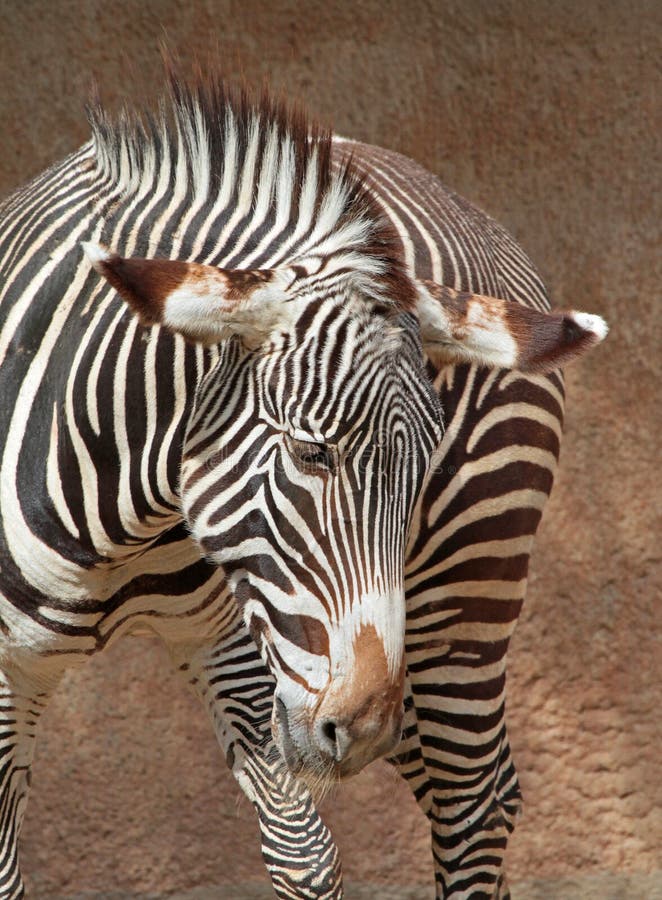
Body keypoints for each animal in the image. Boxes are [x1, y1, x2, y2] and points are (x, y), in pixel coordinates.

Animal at [0, 68, 606, 899]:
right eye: (312, 453)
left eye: (425, 467)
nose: (363, 729)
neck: (116, 522)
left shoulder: (241, 648)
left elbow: (304, 858)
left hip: (464, 591)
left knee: (474, 806)